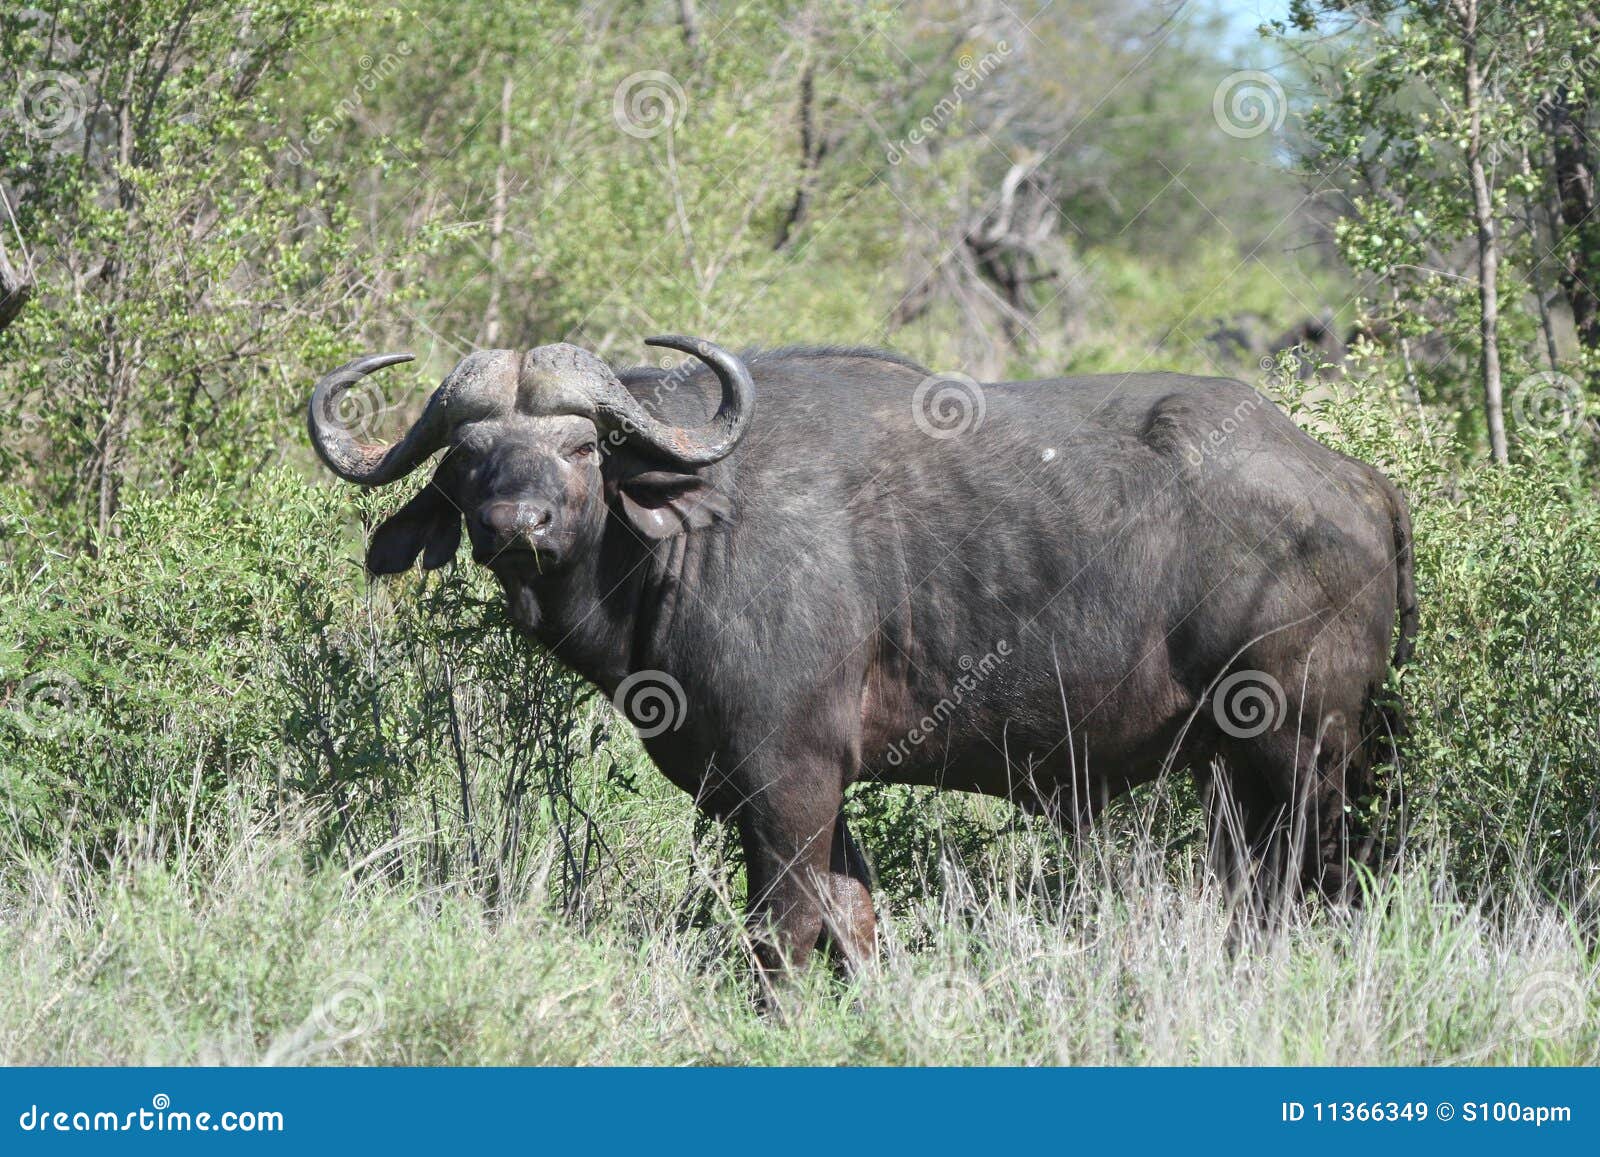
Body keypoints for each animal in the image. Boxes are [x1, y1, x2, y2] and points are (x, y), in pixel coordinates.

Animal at [307, 337, 1415, 980]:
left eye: (583, 446)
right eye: (468, 457)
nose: (515, 525)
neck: (678, 543)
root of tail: (1355, 478)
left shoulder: (785, 774)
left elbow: (784, 927)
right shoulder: (803, 789)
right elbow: (853, 920)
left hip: (1292, 750)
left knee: (1306, 882)